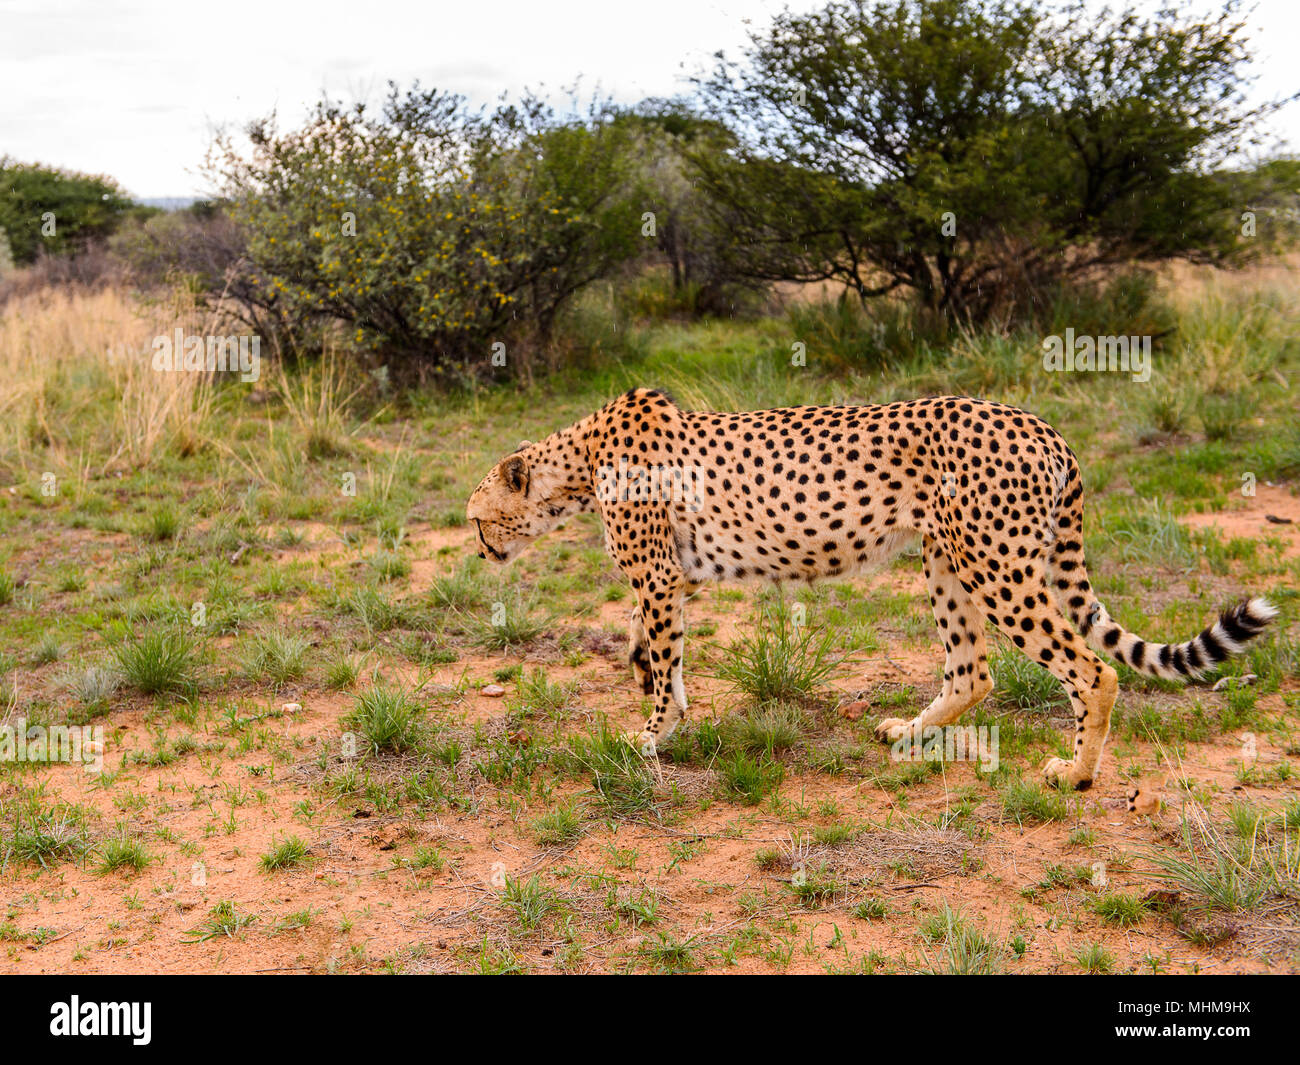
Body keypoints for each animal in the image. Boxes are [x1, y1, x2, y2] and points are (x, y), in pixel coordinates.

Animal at [466, 388, 1277, 790]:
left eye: (476, 519)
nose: (481, 550)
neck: (579, 461)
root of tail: (1041, 424)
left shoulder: (661, 578)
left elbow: (665, 664)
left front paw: (651, 735)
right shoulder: (681, 578)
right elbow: (655, 647)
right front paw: (654, 694)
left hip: (998, 566)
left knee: (1092, 669)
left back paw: (1075, 772)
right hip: (947, 559)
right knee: (974, 671)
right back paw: (910, 733)